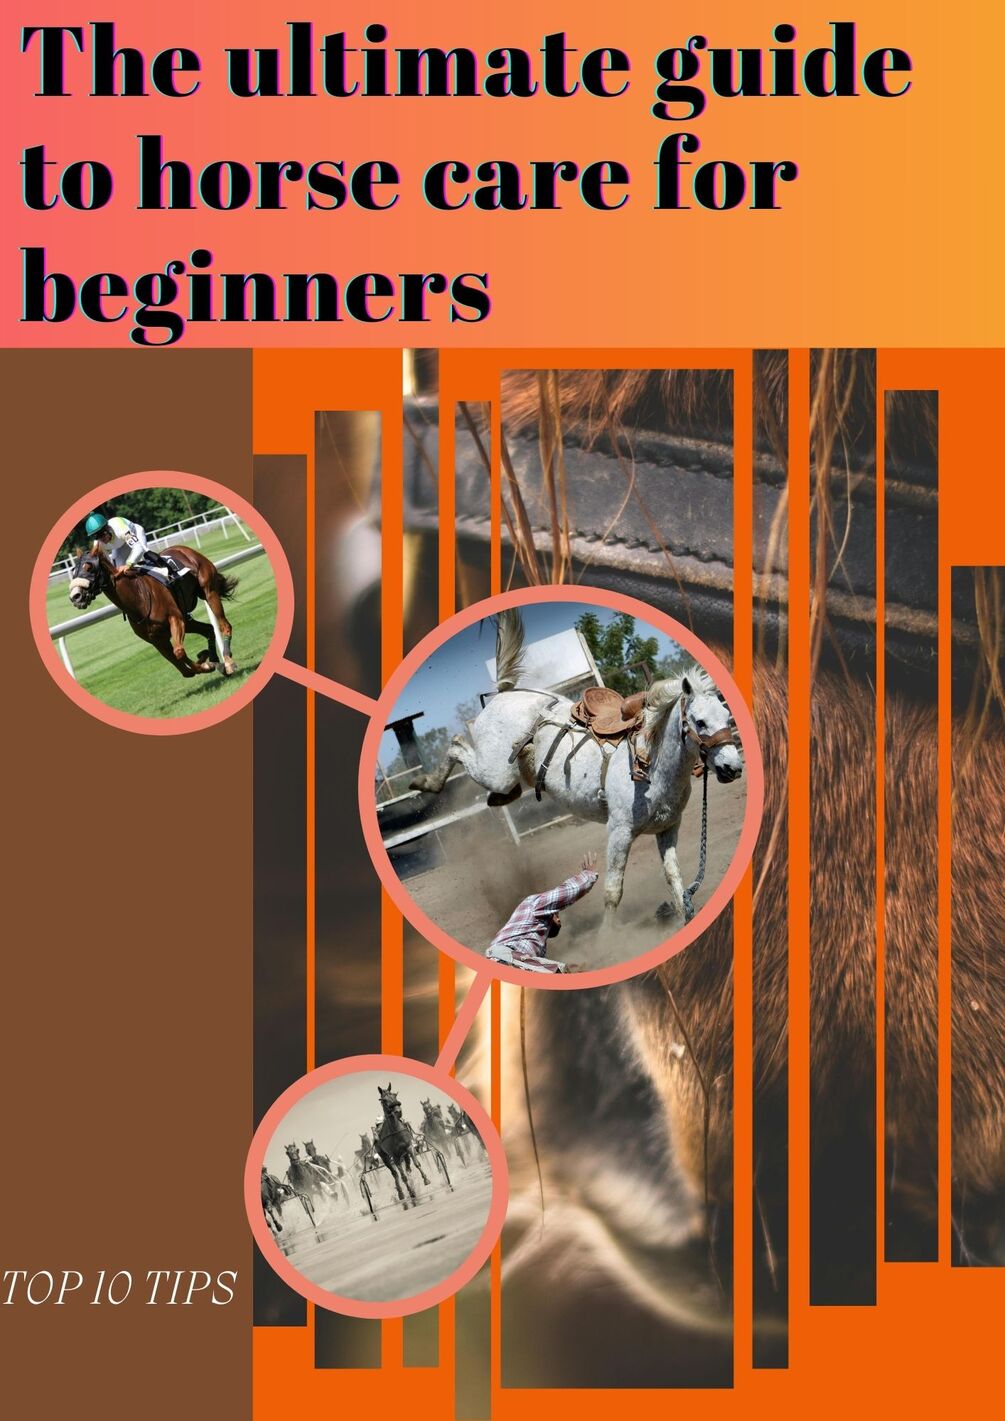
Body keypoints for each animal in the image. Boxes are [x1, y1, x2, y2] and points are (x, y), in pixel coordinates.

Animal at [67, 544, 238, 677]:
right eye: (74, 571)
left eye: (89, 567)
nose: (75, 597)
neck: (139, 600)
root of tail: (185, 549)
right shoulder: (156, 639)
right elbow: (184, 670)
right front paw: (204, 661)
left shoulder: (175, 619)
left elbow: (179, 652)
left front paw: (205, 663)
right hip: (187, 620)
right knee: (208, 628)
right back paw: (216, 661)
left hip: (209, 592)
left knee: (224, 625)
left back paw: (228, 662)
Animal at [409, 610, 743, 925]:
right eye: (700, 721)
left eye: (726, 717)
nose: (732, 767)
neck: (653, 762)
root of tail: (506, 694)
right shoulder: (620, 831)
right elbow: (613, 891)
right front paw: (607, 938)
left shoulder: (667, 828)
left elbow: (675, 880)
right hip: (494, 771)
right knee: (455, 744)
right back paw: (425, 783)